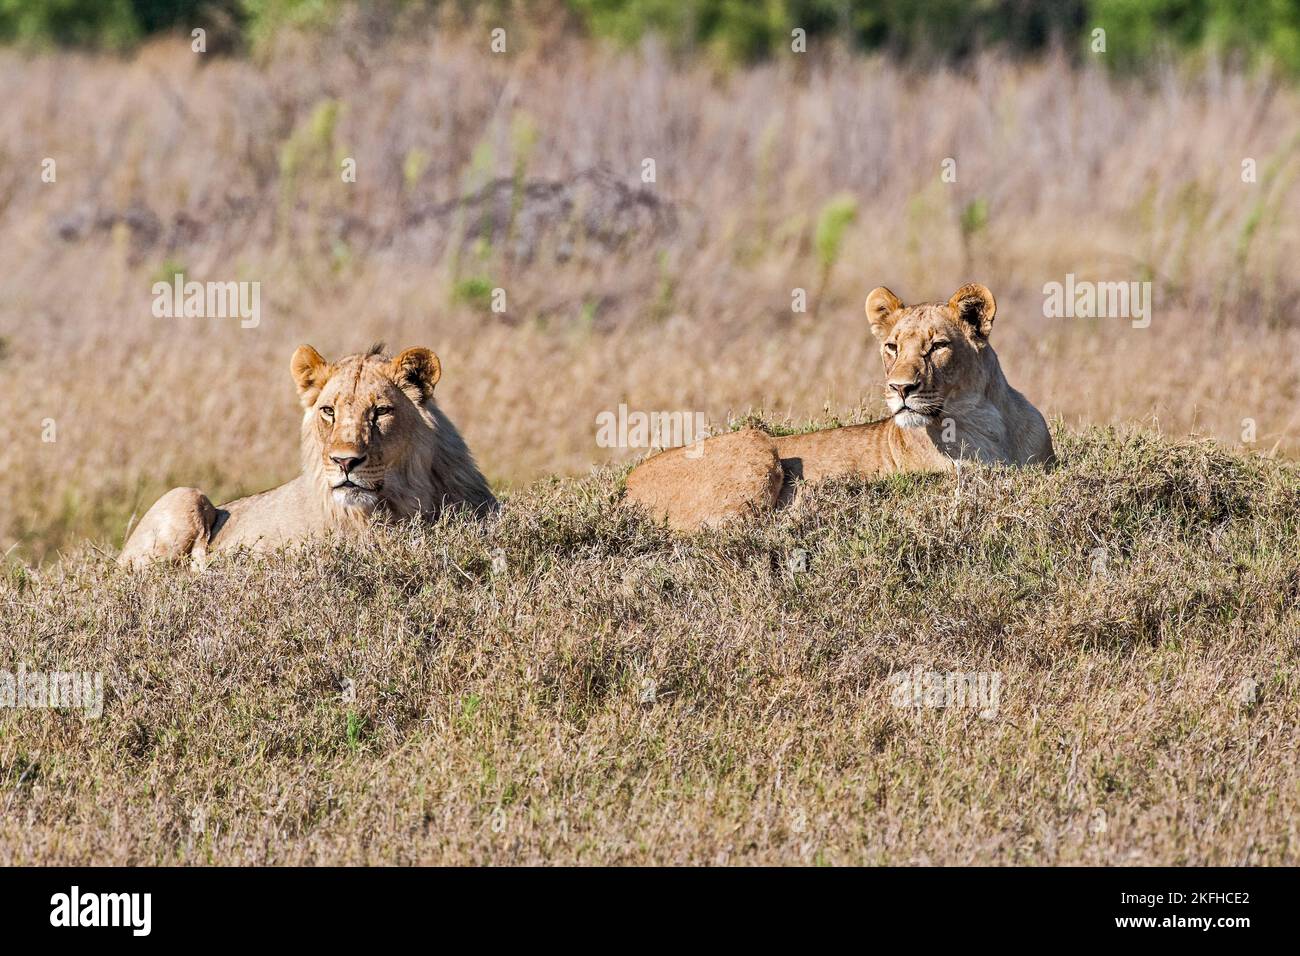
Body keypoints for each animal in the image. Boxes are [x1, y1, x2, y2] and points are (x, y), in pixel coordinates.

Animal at [624, 283, 1053, 531]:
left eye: (937, 346)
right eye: (892, 346)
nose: (900, 388)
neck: (985, 420)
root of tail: (627, 484)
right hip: (755, 442)